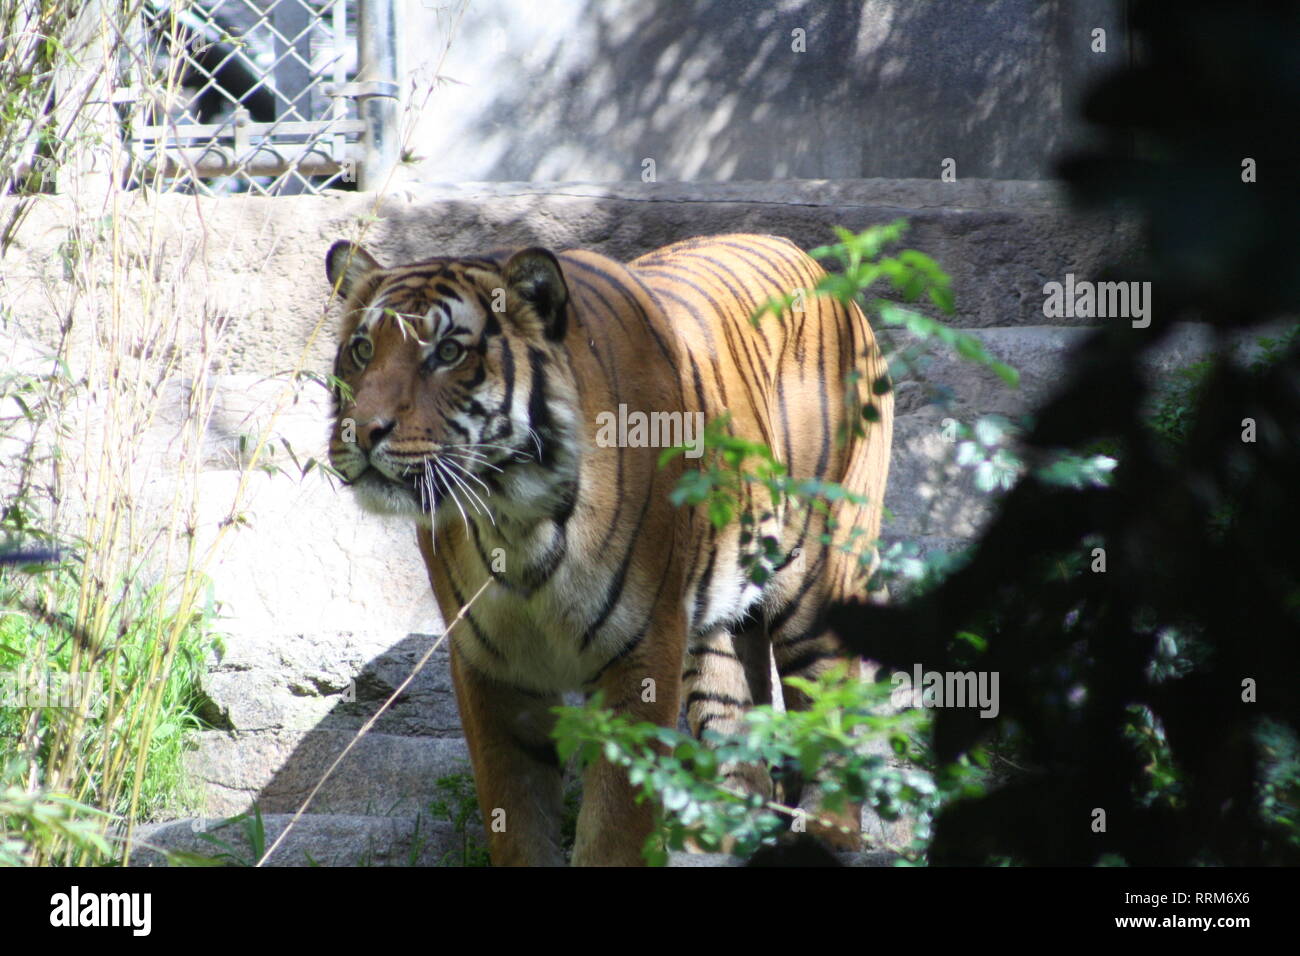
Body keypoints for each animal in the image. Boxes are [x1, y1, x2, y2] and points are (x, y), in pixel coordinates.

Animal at [324, 233, 893, 866]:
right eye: (362, 349)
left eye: (448, 351)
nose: (361, 431)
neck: (513, 518)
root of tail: (800, 251)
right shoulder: (490, 665)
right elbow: (516, 819)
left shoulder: (641, 649)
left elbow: (614, 826)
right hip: (715, 617)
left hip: (816, 573)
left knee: (829, 702)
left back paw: (825, 834)